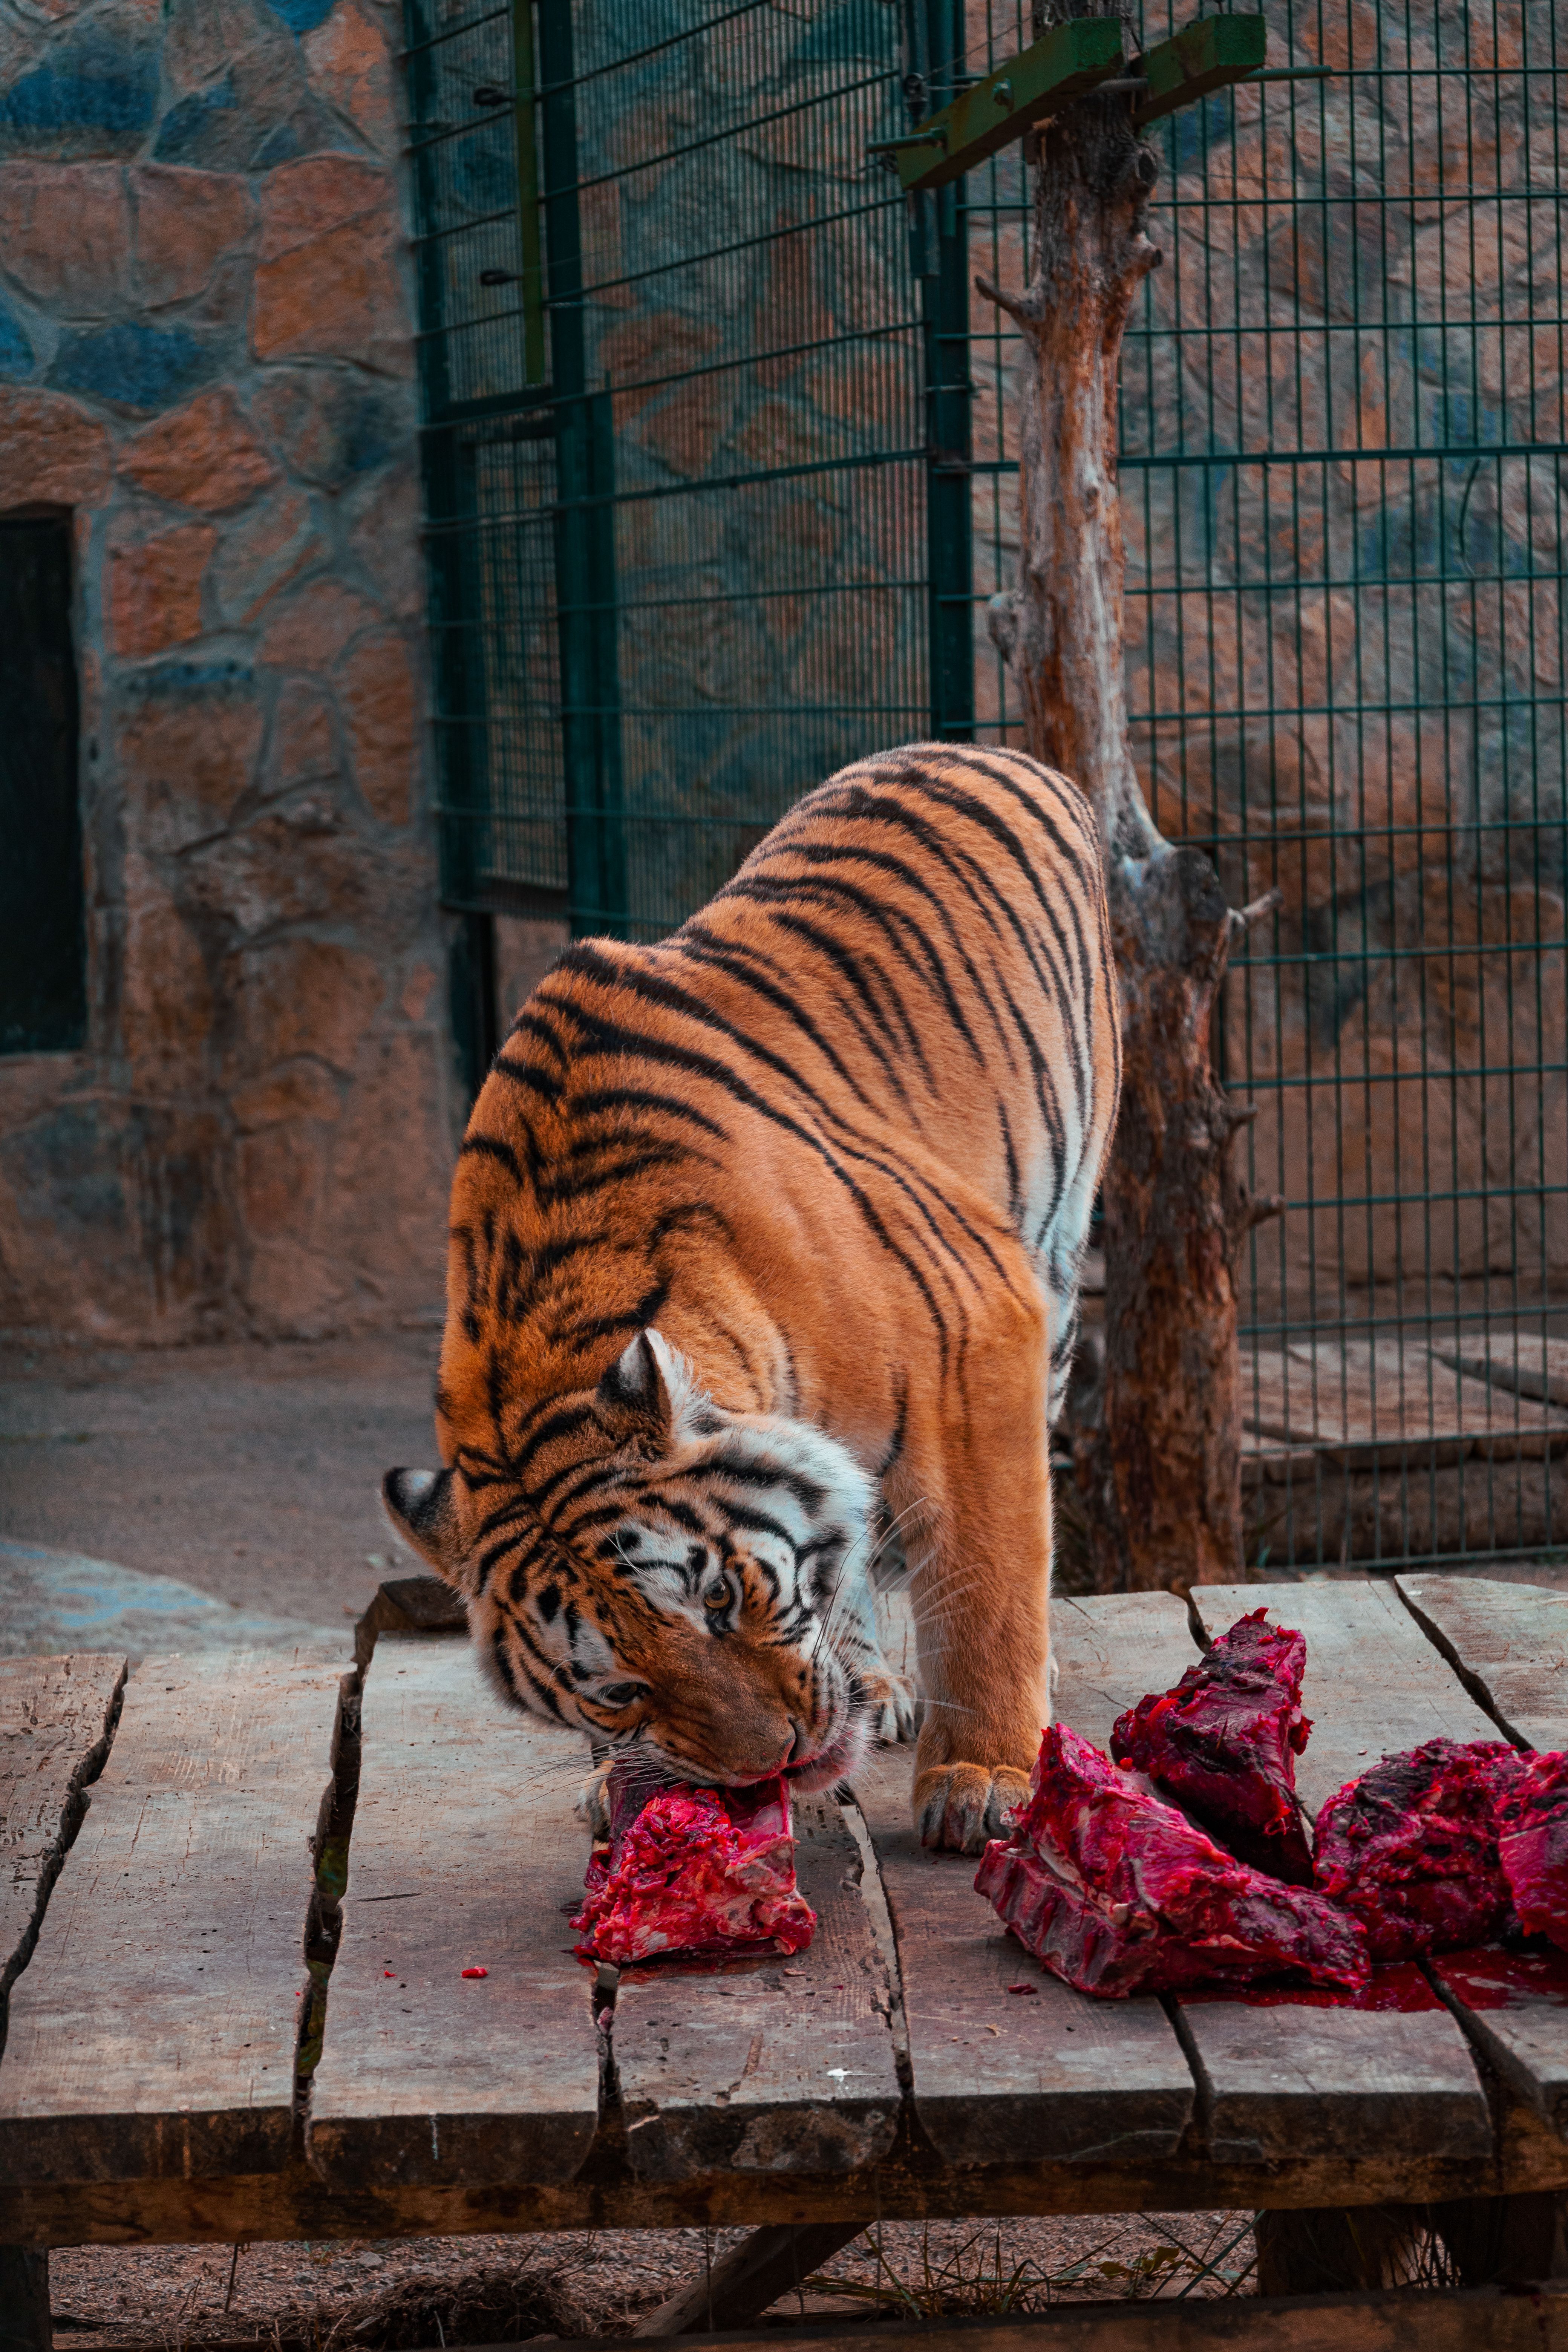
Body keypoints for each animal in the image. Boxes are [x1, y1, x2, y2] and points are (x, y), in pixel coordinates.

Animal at [384, 743, 1120, 1854]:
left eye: (724, 1596)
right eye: (615, 1688)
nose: (774, 1759)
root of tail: (972, 747)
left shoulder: (983, 1329)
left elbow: (988, 1583)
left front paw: (986, 1780)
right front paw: (619, 1787)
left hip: (1061, 1254)